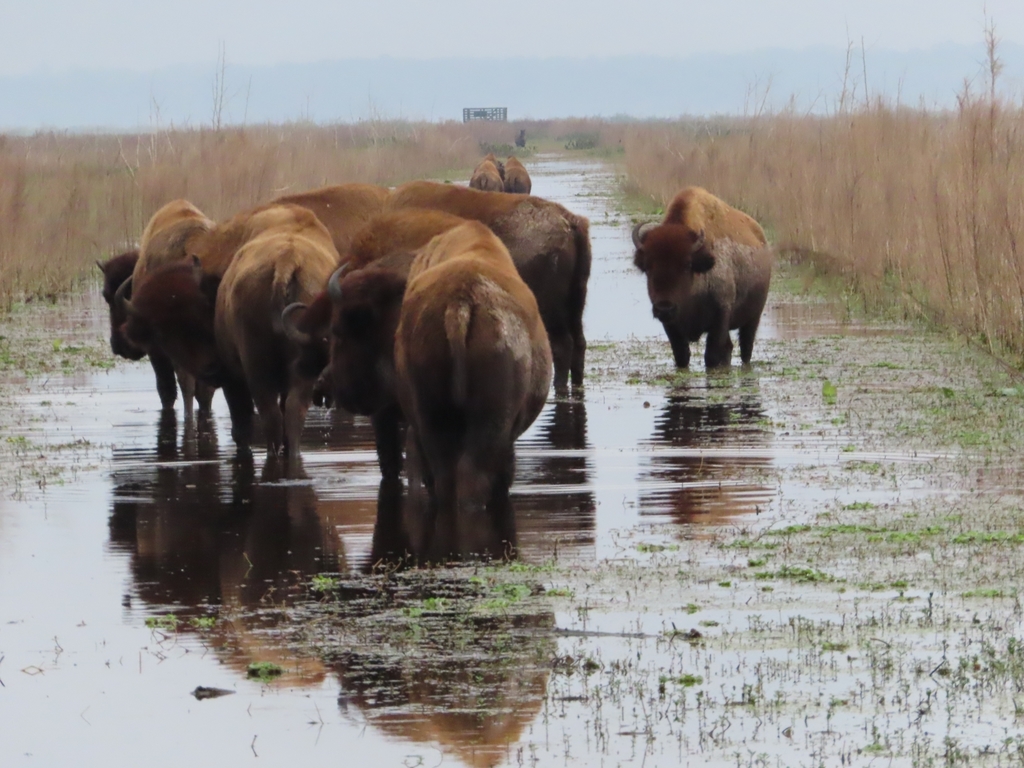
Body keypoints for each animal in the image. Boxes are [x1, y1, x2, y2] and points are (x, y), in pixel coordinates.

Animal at [631, 186, 772, 369]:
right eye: (648, 267)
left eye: (686, 265)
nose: (664, 308)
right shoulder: (671, 327)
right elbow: (682, 356)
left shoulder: (720, 316)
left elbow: (711, 356)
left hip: (753, 317)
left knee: (745, 349)